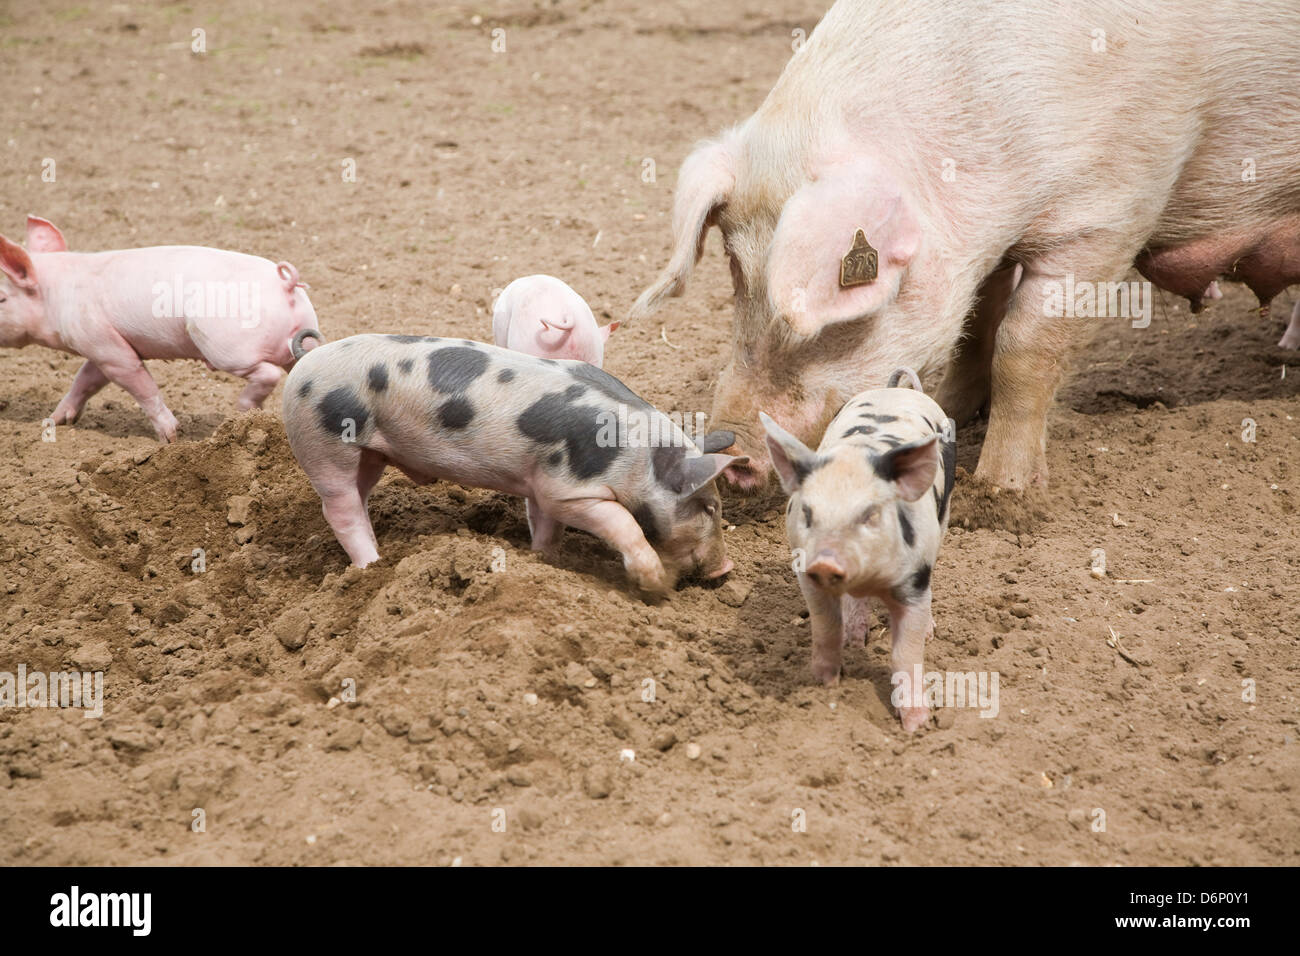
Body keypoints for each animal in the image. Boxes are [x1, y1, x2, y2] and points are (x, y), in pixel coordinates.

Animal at [0, 216, 322, 442]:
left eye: (2, 298)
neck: (58, 296)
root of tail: (286, 283)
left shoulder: (103, 343)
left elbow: (140, 383)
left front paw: (171, 438)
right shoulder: (102, 348)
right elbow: (85, 380)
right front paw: (56, 421)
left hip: (226, 346)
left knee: (267, 373)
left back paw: (241, 411)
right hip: (302, 339)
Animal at [281, 334, 744, 596]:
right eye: (709, 508)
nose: (727, 568)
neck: (640, 459)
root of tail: (307, 359)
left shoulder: (540, 481)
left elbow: (545, 527)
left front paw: (543, 562)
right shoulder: (569, 490)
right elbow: (623, 523)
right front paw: (655, 585)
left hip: (369, 454)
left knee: (358, 497)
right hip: (324, 442)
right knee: (340, 508)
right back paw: (370, 565)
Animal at [628, 0, 1300, 498]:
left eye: (827, 314)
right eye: (735, 269)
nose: (728, 453)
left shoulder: (1108, 211)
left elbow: (1025, 347)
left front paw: (1003, 495)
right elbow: (977, 323)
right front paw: (947, 410)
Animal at [762, 368, 954, 732]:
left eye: (869, 514)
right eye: (807, 512)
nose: (825, 562)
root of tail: (894, 390)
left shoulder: (913, 581)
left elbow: (906, 653)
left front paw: (917, 726)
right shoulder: (806, 574)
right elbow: (825, 629)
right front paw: (825, 684)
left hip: (945, 514)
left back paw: (930, 632)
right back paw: (855, 638)